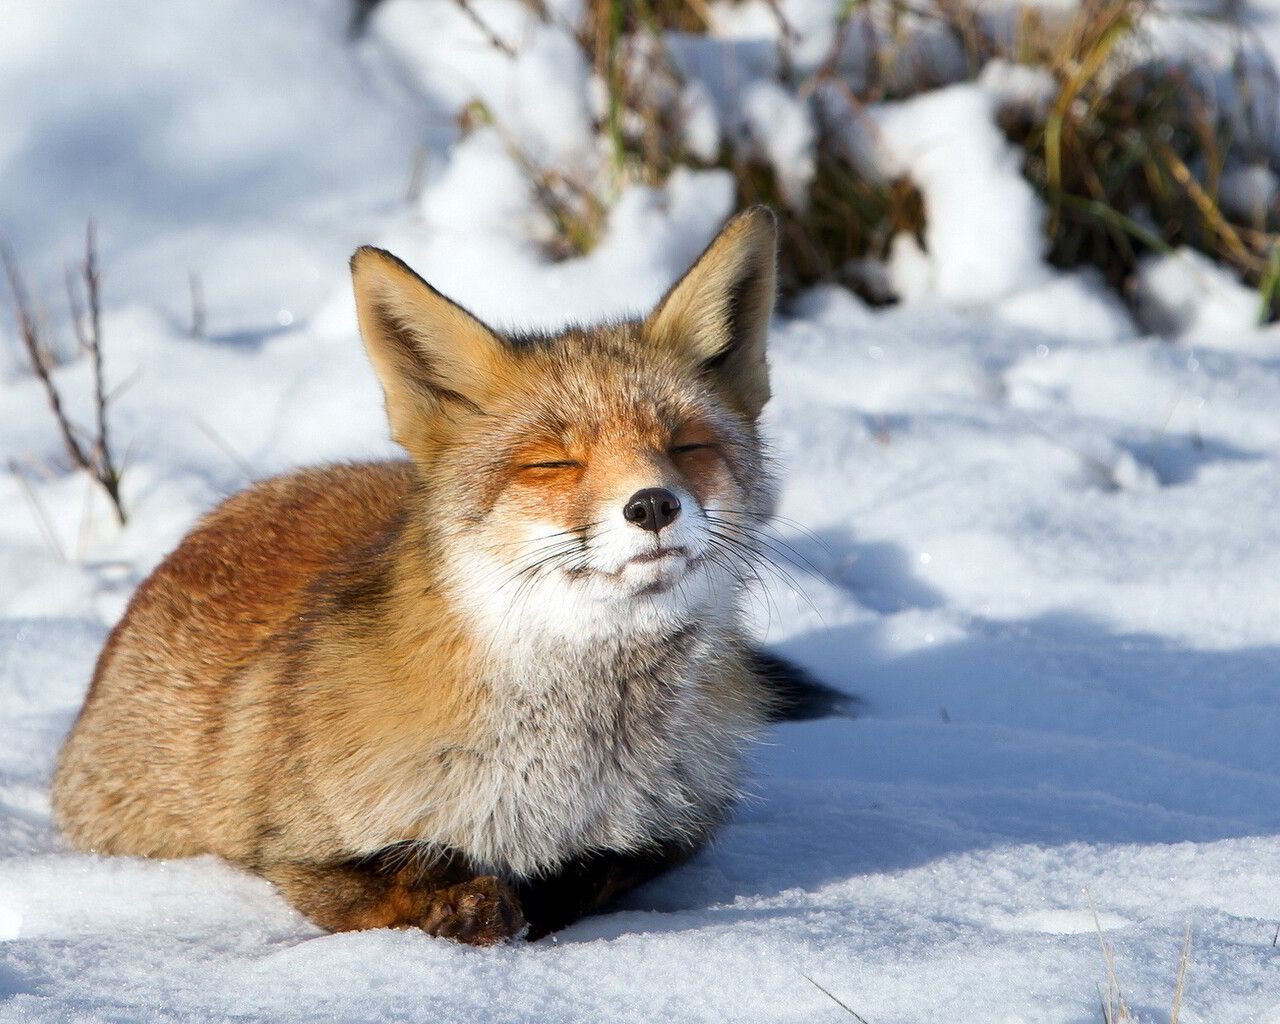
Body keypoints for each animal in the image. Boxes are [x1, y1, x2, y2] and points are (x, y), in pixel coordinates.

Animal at [51, 206, 840, 945]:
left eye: (686, 445)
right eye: (552, 462)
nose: (652, 504)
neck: (574, 770)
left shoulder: (677, 828)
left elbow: (595, 872)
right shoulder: (286, 848)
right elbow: (383, 880)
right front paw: (462, 901)